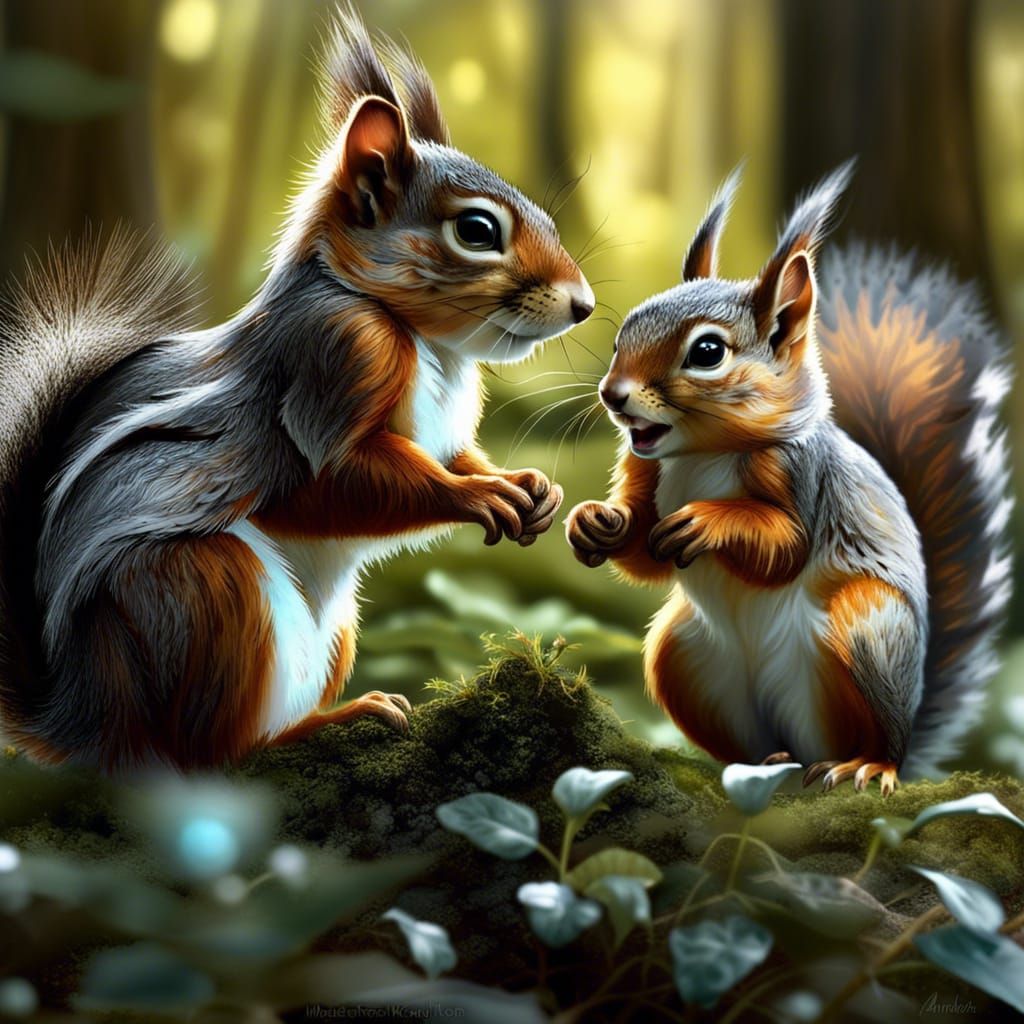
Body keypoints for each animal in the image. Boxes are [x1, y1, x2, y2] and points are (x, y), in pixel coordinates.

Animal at [0, 8, 593, 771]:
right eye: (476, 229)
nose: (583, 305)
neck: (423, 341)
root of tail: (87, 719)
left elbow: (454, 457)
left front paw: (528, 486)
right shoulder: (337, 355)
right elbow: (338, 481)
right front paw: (478, 497)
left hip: (333, 627)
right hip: (206, 597)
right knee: (209, 758)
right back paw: (325, 725)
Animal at [566, 164, 1011, 794]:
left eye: (708, 351)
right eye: (618, 335)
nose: (613, 394)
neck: (702, 453)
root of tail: (808, 744)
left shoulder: (803, 478)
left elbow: (785, 549)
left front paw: (706, 522)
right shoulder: (643, 468)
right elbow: (644, 552)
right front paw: (595, 522)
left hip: (866, 629)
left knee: (880, 739)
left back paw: (868, 764)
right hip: (679, 656)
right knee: (757, 744)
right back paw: (757, 763)